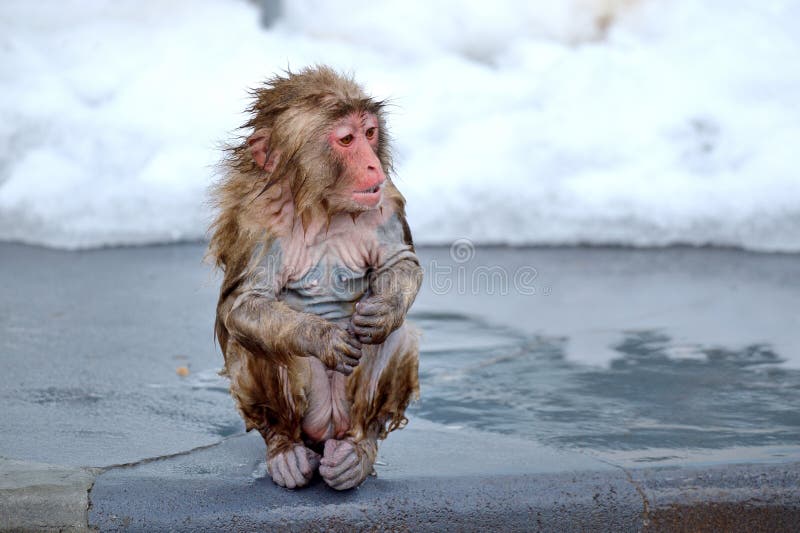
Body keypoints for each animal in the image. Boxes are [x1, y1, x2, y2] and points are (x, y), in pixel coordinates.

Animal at [207, 66, 422, 491]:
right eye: (346, 139)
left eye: (369, 133)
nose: (373, 166)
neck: (322, 208)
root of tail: (326, 436)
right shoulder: (255, 221)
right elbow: (243, 304)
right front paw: (323, 338)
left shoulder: (384, 201)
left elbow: (401, 263)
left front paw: (383, 311)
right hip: (306, 416)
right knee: (251, 343)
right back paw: (285, 449)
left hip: (348, 414)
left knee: (398, 336)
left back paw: (357, 450)